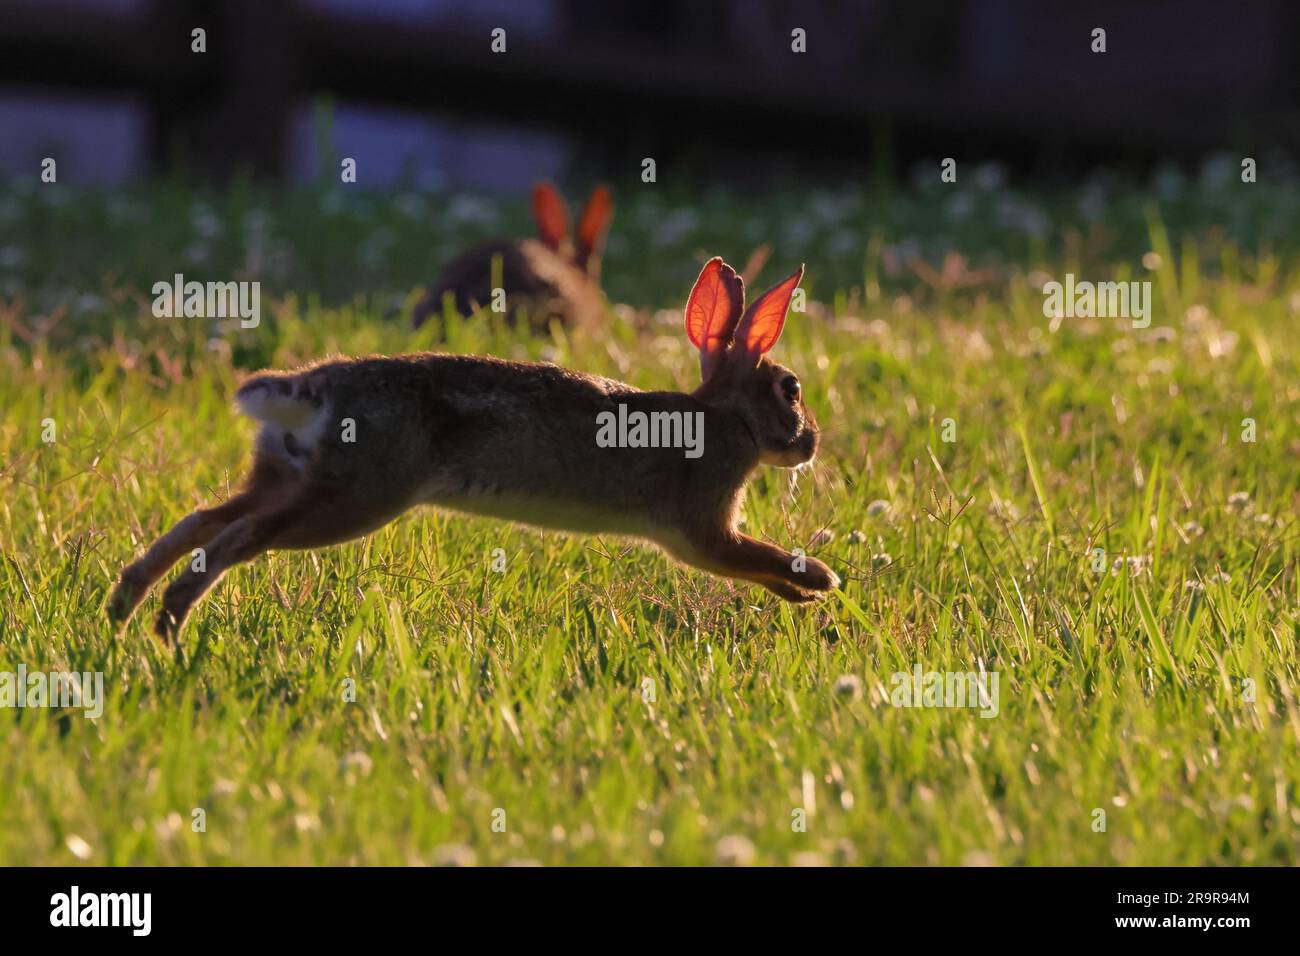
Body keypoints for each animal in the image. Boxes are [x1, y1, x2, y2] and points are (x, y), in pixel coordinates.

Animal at [108, 256, 839, 641]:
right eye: (791, 388)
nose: (809, 444)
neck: (726, 418)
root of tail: (314, 391)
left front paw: (804, 596)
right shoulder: (698, 529)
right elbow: (745, 555)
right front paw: (821, 582)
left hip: (288, 474)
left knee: (204, 519)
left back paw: (124, 610)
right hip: (355, 496)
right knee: (240, 538)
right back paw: (169, 626)